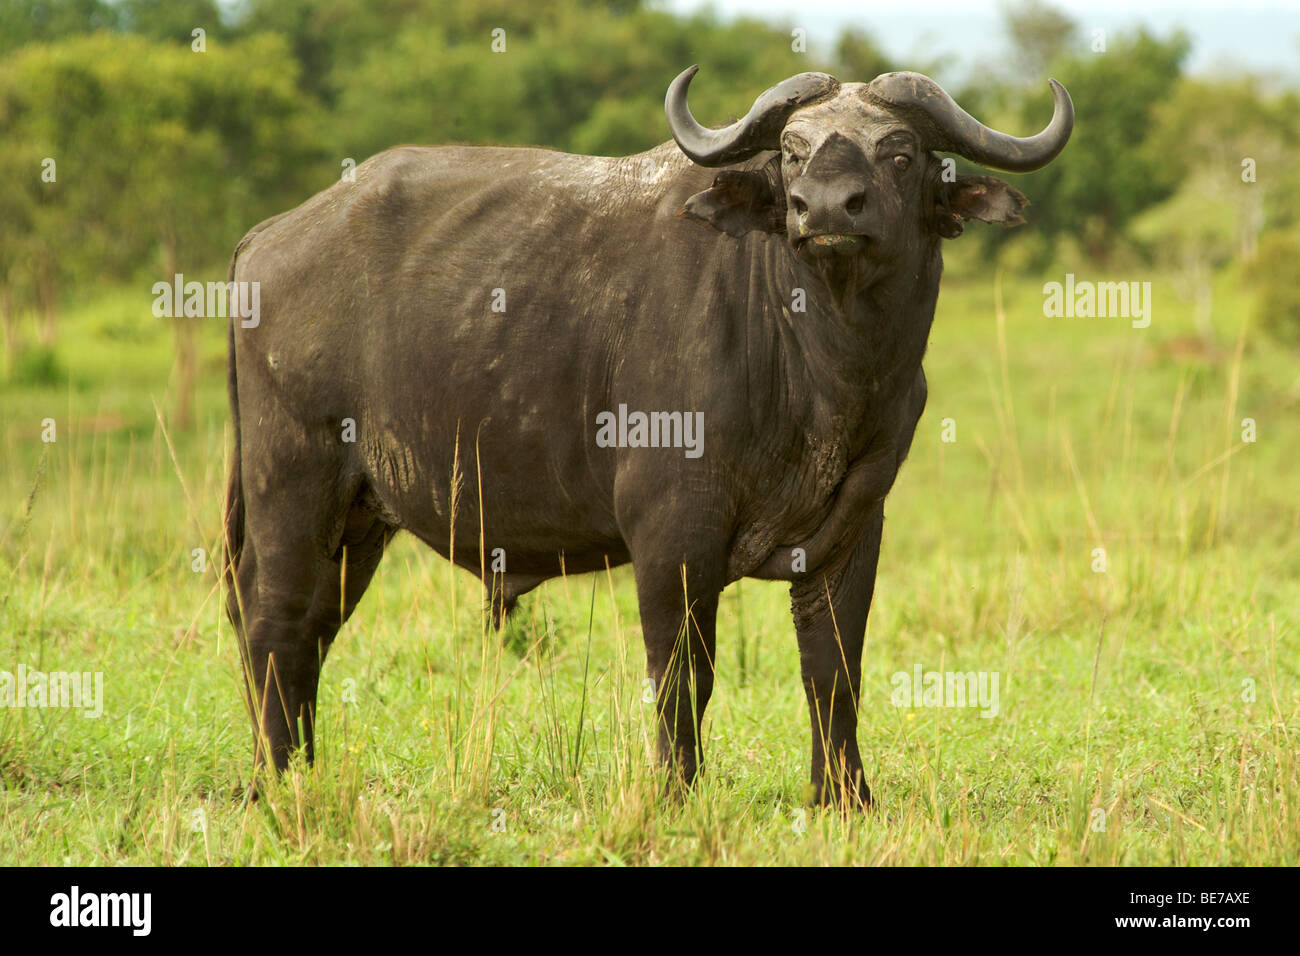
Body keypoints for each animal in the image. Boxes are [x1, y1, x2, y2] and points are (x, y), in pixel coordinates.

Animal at [224, 66, 1072, 806]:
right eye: (791, 150)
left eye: (899, 151)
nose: (825, 208)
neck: (817, 367)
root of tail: (266, 237)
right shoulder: (672, 534)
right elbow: (681, 675)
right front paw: (676, 792)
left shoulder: (853, 529)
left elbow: (834, 672)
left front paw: (844, 797)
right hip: (293, 483)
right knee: (274, 621)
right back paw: (274, 783)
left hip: (362, 517)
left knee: (312, 630)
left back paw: (299, 772)